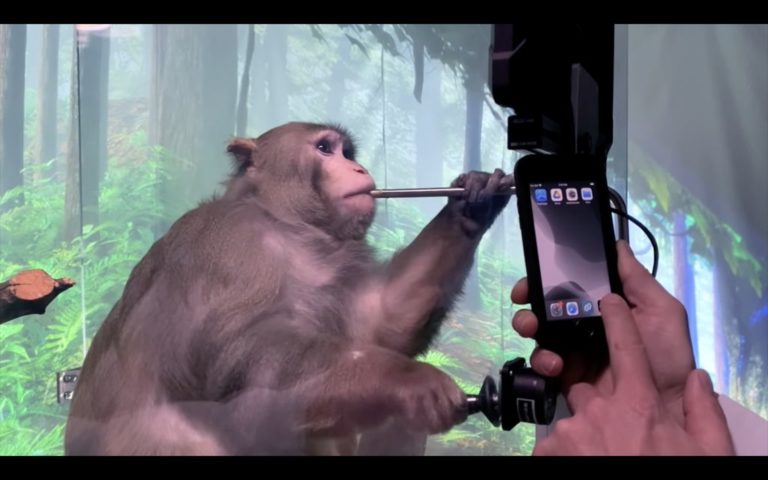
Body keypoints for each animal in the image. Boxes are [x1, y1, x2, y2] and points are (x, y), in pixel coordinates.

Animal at [64, 122, 514, 456]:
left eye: (348, 152)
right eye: (325, 148)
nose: (359, 170)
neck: (284, 224)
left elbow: (381, 323)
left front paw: (471, 203)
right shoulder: (233, 247)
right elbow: (242, 358)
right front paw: (408, 380)